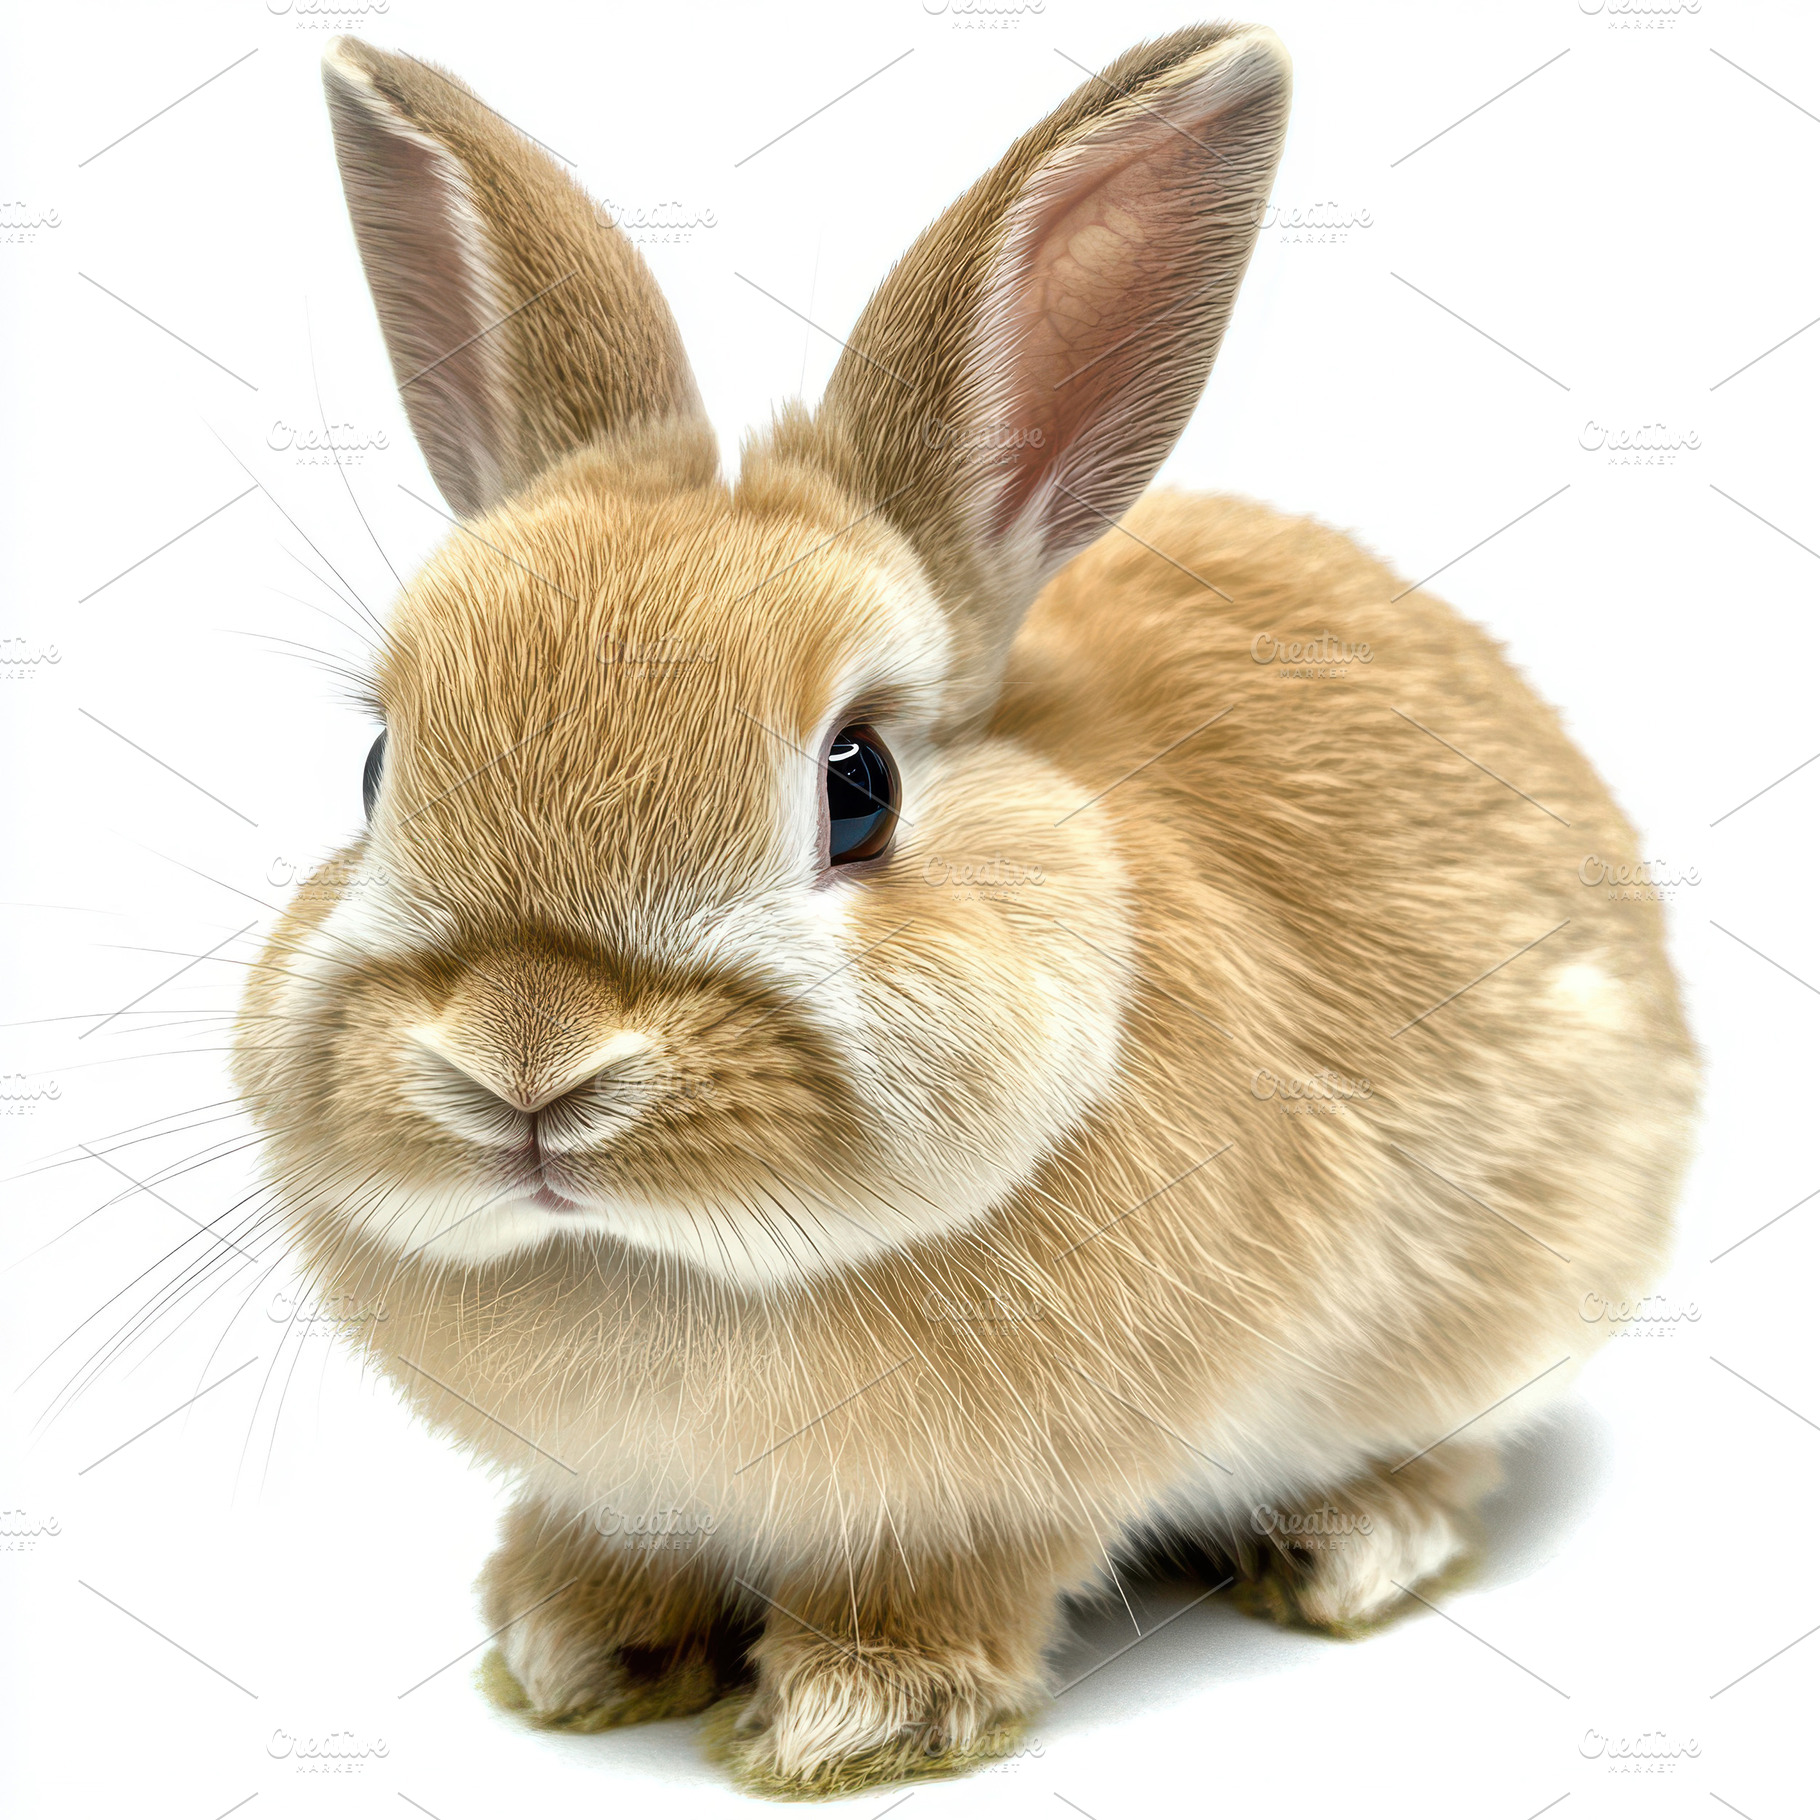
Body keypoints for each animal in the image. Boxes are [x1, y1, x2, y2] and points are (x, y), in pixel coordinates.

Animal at [233, 25, 1699, 1800]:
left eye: (857, 784)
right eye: (379, 768)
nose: (527, 1058)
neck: (668, 1267)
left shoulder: (1019, 1494)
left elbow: (952, 1581)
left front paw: (857, 1712)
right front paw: (576, 1645)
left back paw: (1350, 1543)